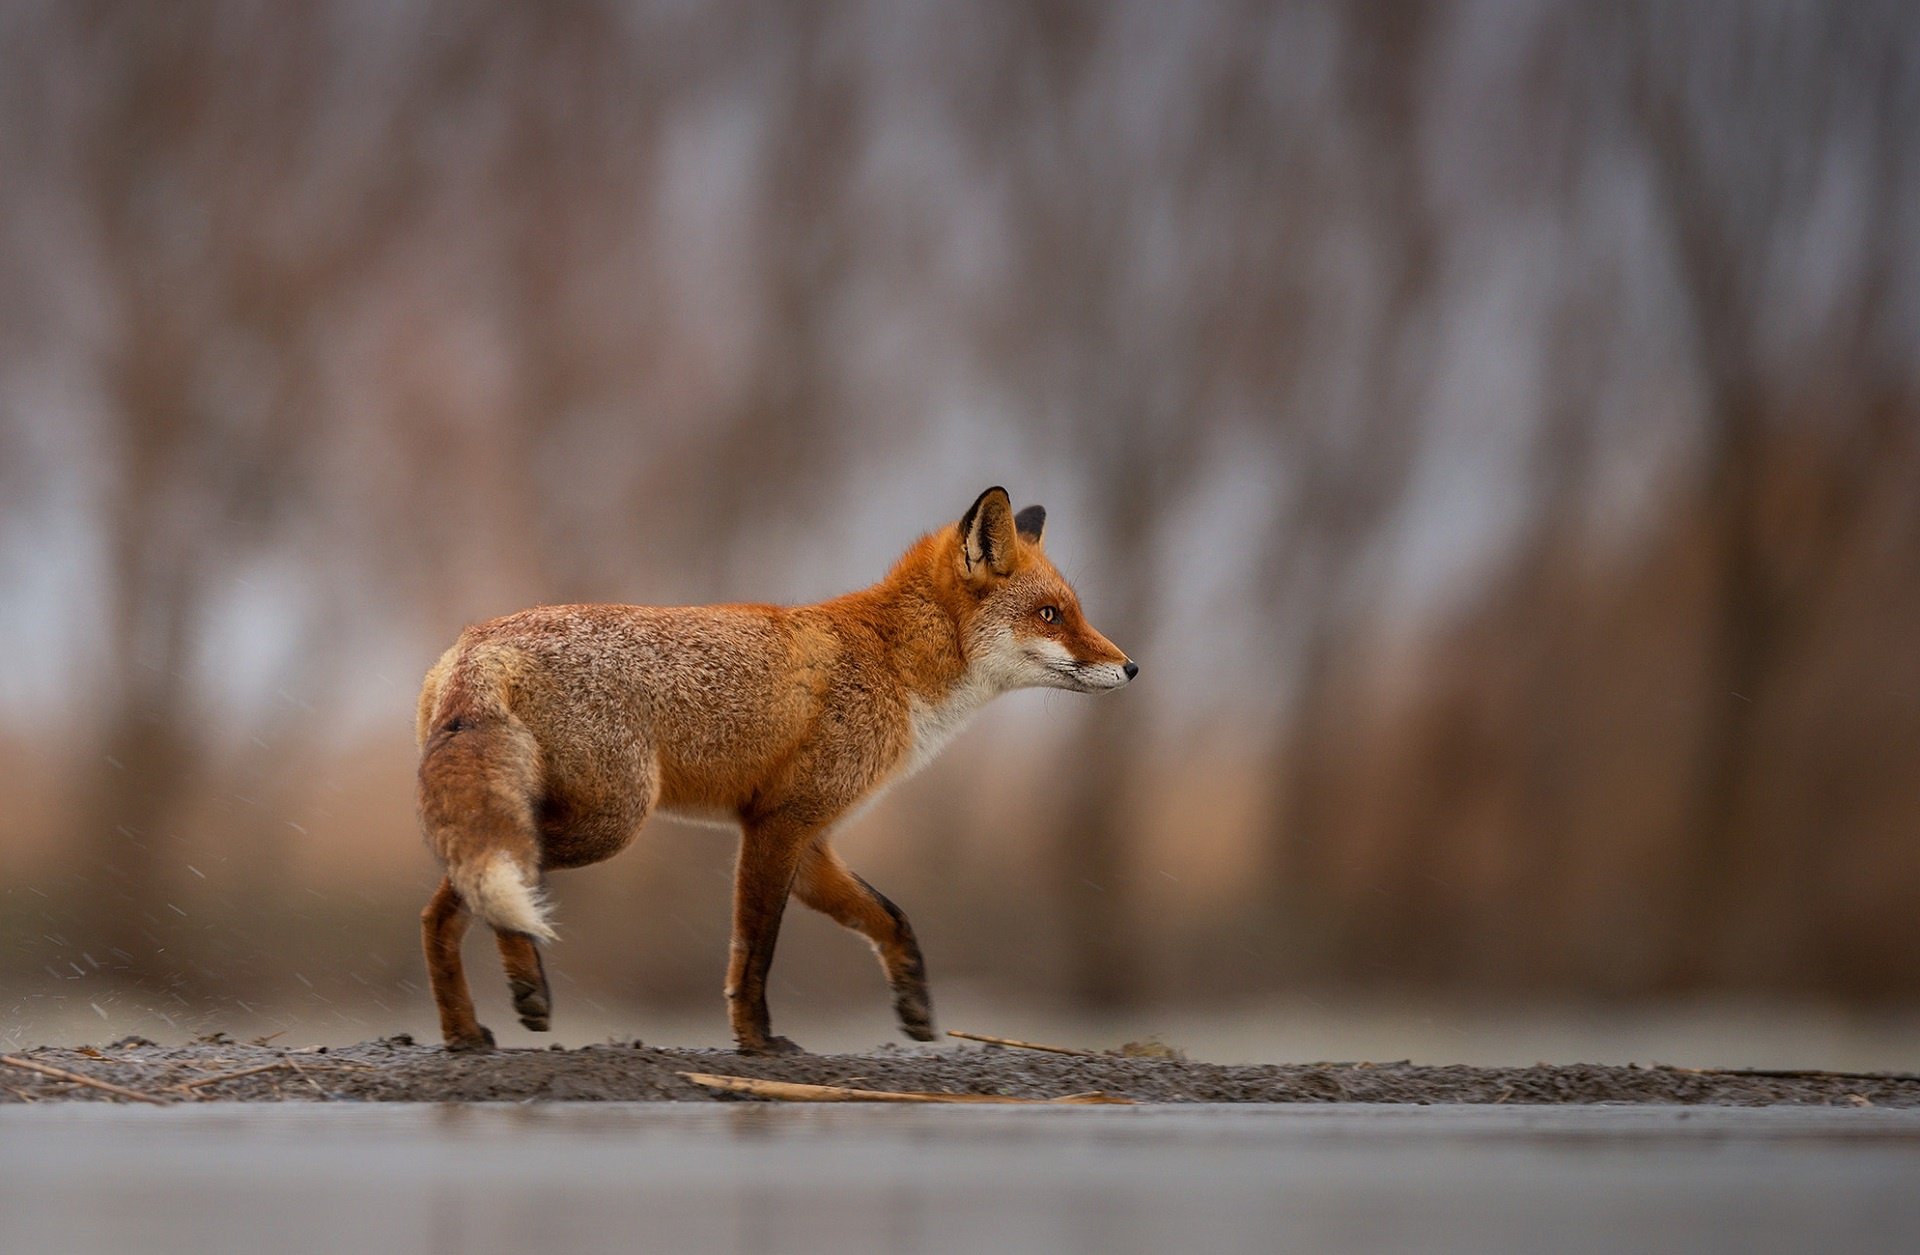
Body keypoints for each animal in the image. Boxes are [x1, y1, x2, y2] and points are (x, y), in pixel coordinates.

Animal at [413, 486, 1136, 1054]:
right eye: (1050, 615)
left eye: (1073, 611)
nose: (1130, 667)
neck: (891, 661)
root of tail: (479, 642)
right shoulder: (777, 826)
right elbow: (754, 952)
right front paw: (757, 1041)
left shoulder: (811, 837)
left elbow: (889, 916)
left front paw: (914, 1005)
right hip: (610, 822)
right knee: (470, 890)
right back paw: (522, 984)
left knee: (443, 910)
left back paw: (463, 1032)